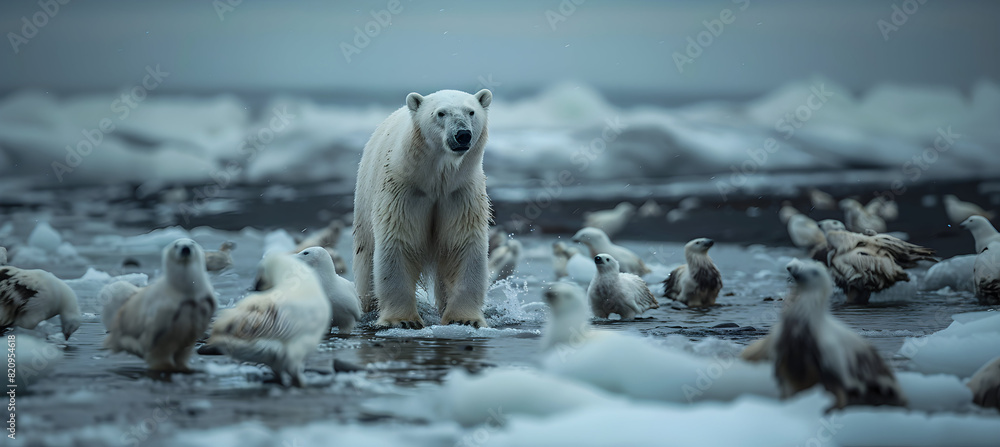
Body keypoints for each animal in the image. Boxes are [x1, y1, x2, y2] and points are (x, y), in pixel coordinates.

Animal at [353, 89, 493, 329]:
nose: (462, 135)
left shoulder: (460, 194)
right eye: (441, 113)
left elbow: (463, 243)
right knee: (365, 258)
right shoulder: (404, 190)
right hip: (364, 200)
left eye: (471, 111)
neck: (436, 180)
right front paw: (402, 320)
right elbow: (399, 241)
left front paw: (464, 318)